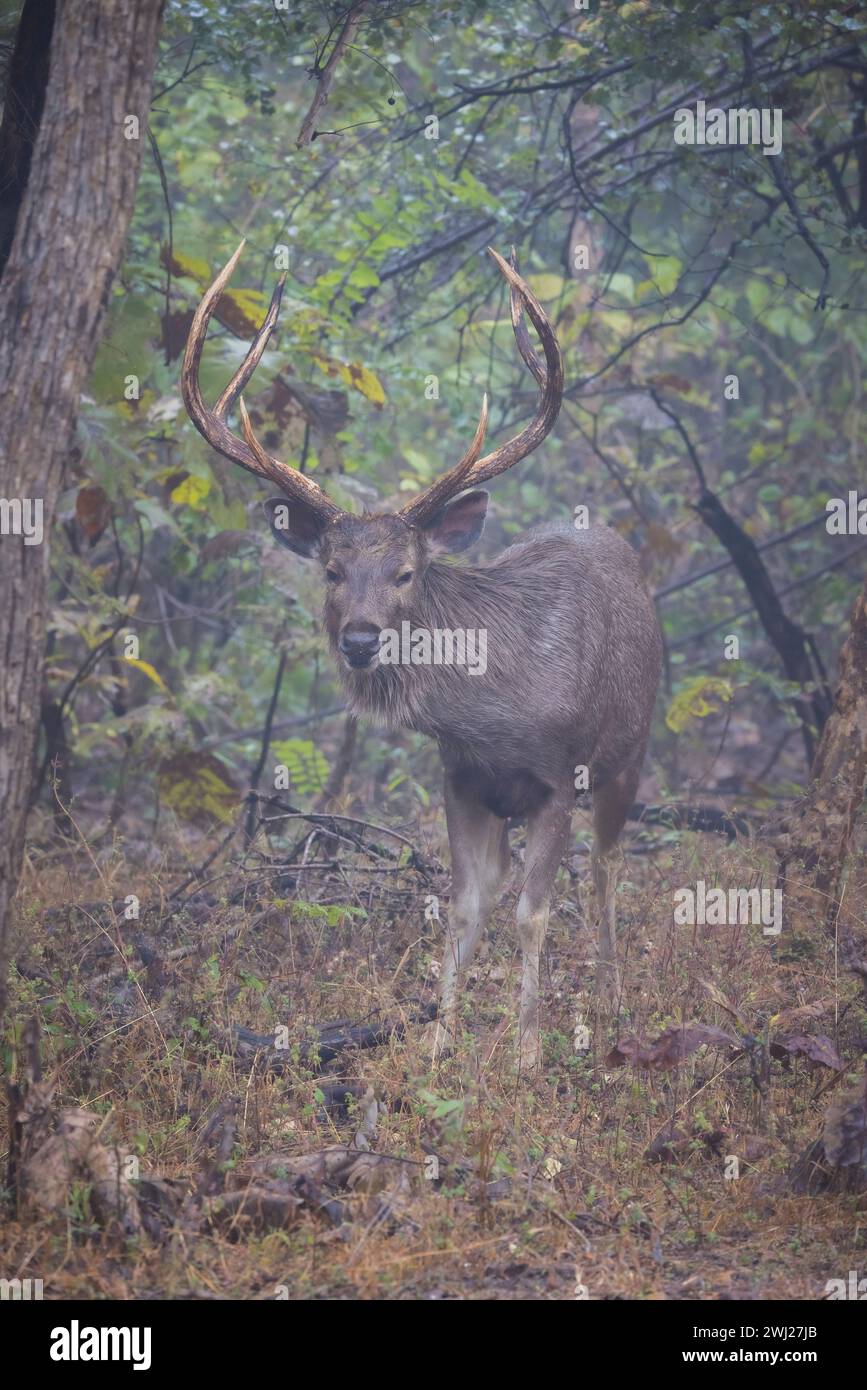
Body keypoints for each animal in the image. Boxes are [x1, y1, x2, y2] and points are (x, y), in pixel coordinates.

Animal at [181, 241, 662, 1070]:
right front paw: (438, 1038)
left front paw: (525, 1052)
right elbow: (463, 906)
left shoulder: (557, 778)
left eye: (405, 572)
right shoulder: (460, 779)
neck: (493, 715)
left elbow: (533, 913)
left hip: (626, 753)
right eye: (330, 570)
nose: (359, 637)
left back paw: (610, 1000)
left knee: (606, 871)